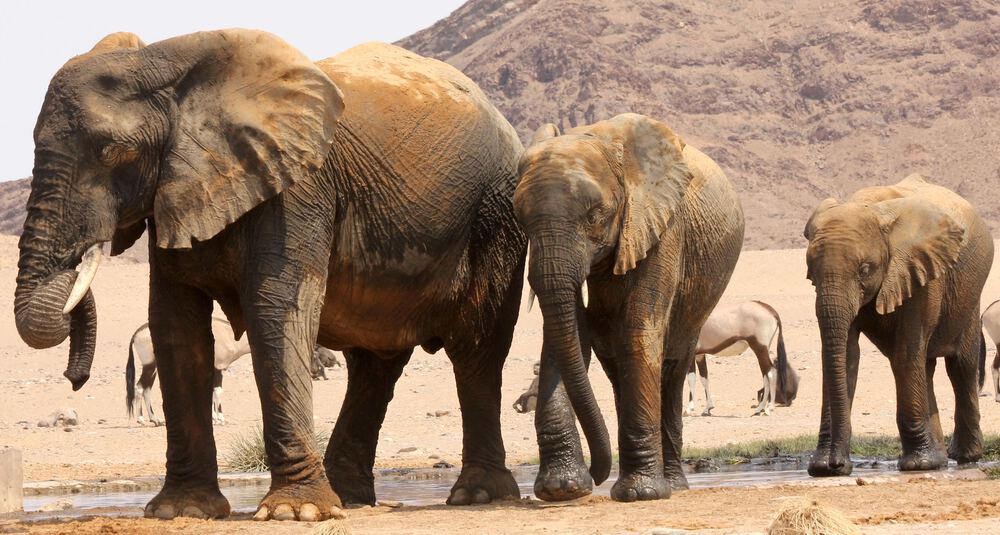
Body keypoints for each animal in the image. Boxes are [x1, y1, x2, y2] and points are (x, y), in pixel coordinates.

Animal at [14, 29, 526, 520]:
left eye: (111, 150)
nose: (73, 378)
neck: (170, 63)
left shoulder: (297, 185)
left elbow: (275, 307)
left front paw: (295, 512)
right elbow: (176, 326)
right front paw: (181, 510)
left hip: (495, 216)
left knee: (475, 350)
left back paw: (477, 495)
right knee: (375, 365)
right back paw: (349, 498)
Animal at [514, 113, 744, 502]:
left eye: (594, 216)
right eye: (521, 220)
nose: (595, 475)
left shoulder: (662, 226)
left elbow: (638, 330)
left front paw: (641, 494)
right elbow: (565, 335)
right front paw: (562, 489)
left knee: (673, 367)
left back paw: (672, 485)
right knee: (615, 362)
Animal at [803, 174, 992, 477]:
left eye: (865, 270)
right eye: (811, 274)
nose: (836, 464)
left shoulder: (920, 272)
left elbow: (905, 354)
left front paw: (917, 466)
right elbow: (846, 356)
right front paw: (822, 469)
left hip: (970, 293)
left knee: (960, 366)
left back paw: (964, 457)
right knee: (925, 367)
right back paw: (939, 460)